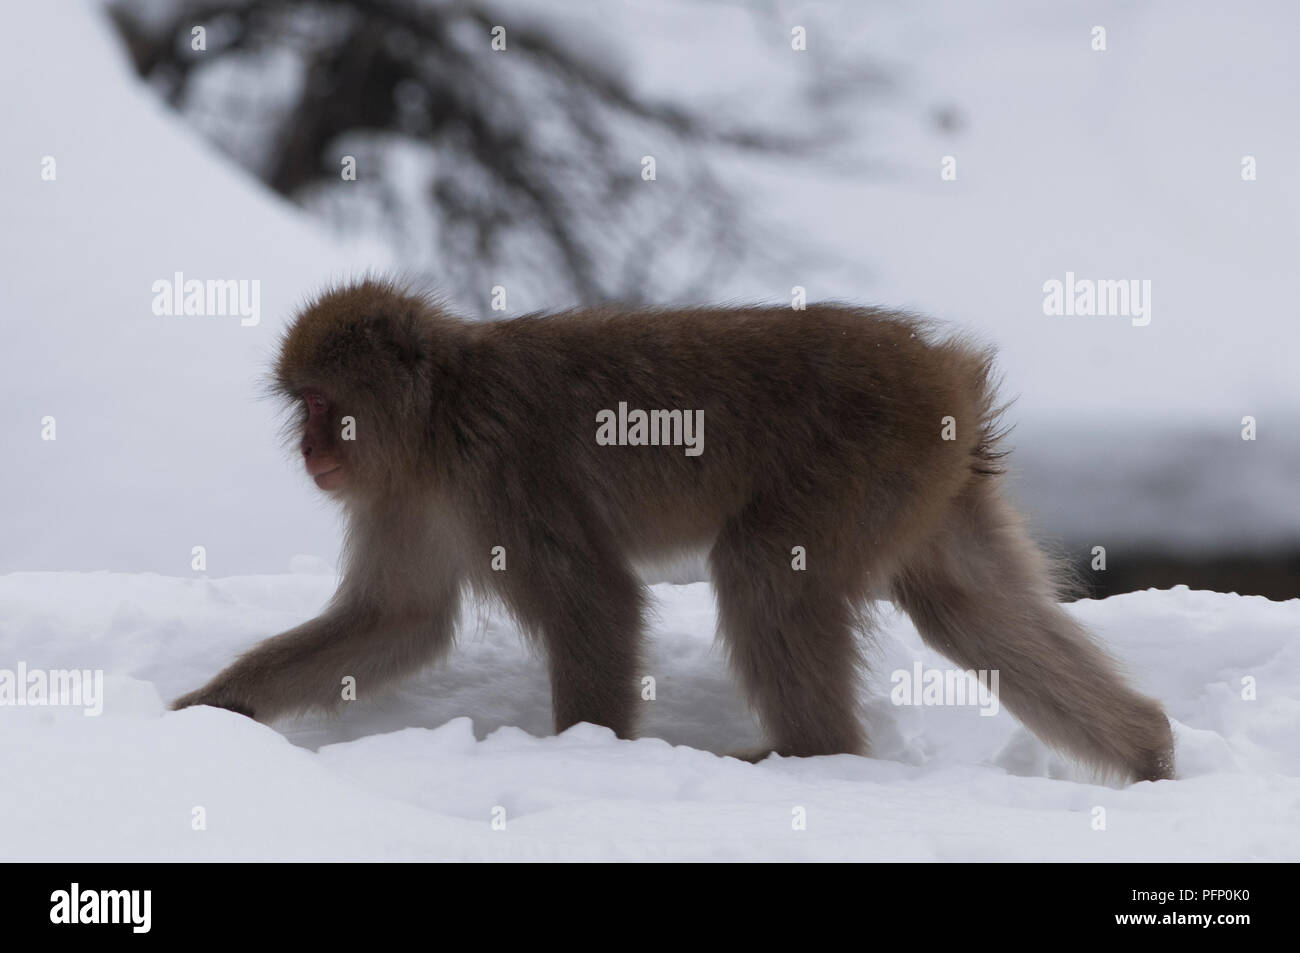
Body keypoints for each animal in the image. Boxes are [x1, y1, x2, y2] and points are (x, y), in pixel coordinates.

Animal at [173, 279, 1175, 783]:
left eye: (320, 404)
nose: (308, 449)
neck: (437, 416)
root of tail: (944, 371)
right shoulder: (402, 496)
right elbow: (399, 619)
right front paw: (209, 713)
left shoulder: (500, 470)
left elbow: (595, 602)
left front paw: (589, 756)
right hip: (930, 485)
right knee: (969, 603)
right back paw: (1149, 748)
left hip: (862, 459)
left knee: (764, 567)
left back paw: (808, 757)